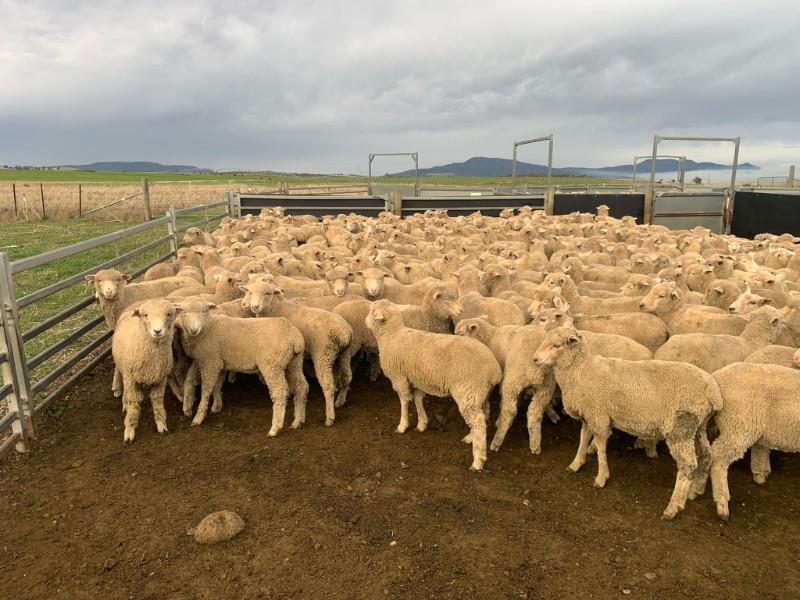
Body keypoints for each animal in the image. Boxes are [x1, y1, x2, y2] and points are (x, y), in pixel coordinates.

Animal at [111, 299, 180, 442]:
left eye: (169, 314)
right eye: (146, 315)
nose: (157, 331)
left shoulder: (161, 380)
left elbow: (157, 402)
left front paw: (161, 425)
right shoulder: (131, 379)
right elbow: (133, 406)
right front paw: (129, 431)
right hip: (122, 367)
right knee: (120, 377)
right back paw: (121, 397)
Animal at [177, 299, 308, 435]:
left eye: (204, 311)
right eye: (184, 312)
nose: (194, 330)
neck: (208, 327)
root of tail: (294, 336)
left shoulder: (210, 362)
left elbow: (206, 389)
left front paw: (198, 417)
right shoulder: (218, 363)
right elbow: (216, 385)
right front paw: (216, 406)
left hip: (272, 365)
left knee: (280, 392)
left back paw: (275, 428)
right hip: (295, 362)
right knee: (301, 386)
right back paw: (297, 421)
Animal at [240, 279, 353, 424]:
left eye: (267, 293)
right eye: (249, 292)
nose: (255, 307)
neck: (275, 308)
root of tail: (344, 332)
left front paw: (289, 394)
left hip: (323, 353)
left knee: (328, 385)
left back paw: (329, 417)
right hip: (345, 353)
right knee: (346, 376)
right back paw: (340, 401)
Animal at [366, 300, 502, 470]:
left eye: (372, 311)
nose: (365, 321)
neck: (392, 335)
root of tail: (494, 369)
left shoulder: (399, 376)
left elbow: (404, 401)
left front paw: (402, 425)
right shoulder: (418, 378)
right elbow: (417, 398)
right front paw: (422, 423)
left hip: (467, 391)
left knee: (477, 421)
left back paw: (478, 461)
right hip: (480, 392)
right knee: (483, 415)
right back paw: (471, 438)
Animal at [532, 326, 722, 519]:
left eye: (557, 345)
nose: (535, 359)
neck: (580, 370)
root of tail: (713, 393)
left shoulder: (598, 416)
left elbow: (600, 448)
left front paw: (601, 477)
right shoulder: (589, 414)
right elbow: (583, 439)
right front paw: (576, 464)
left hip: (680, 428)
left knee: (688, 465)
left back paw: (673, 507)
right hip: (698, 428)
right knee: (706, 456)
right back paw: (695, 491)